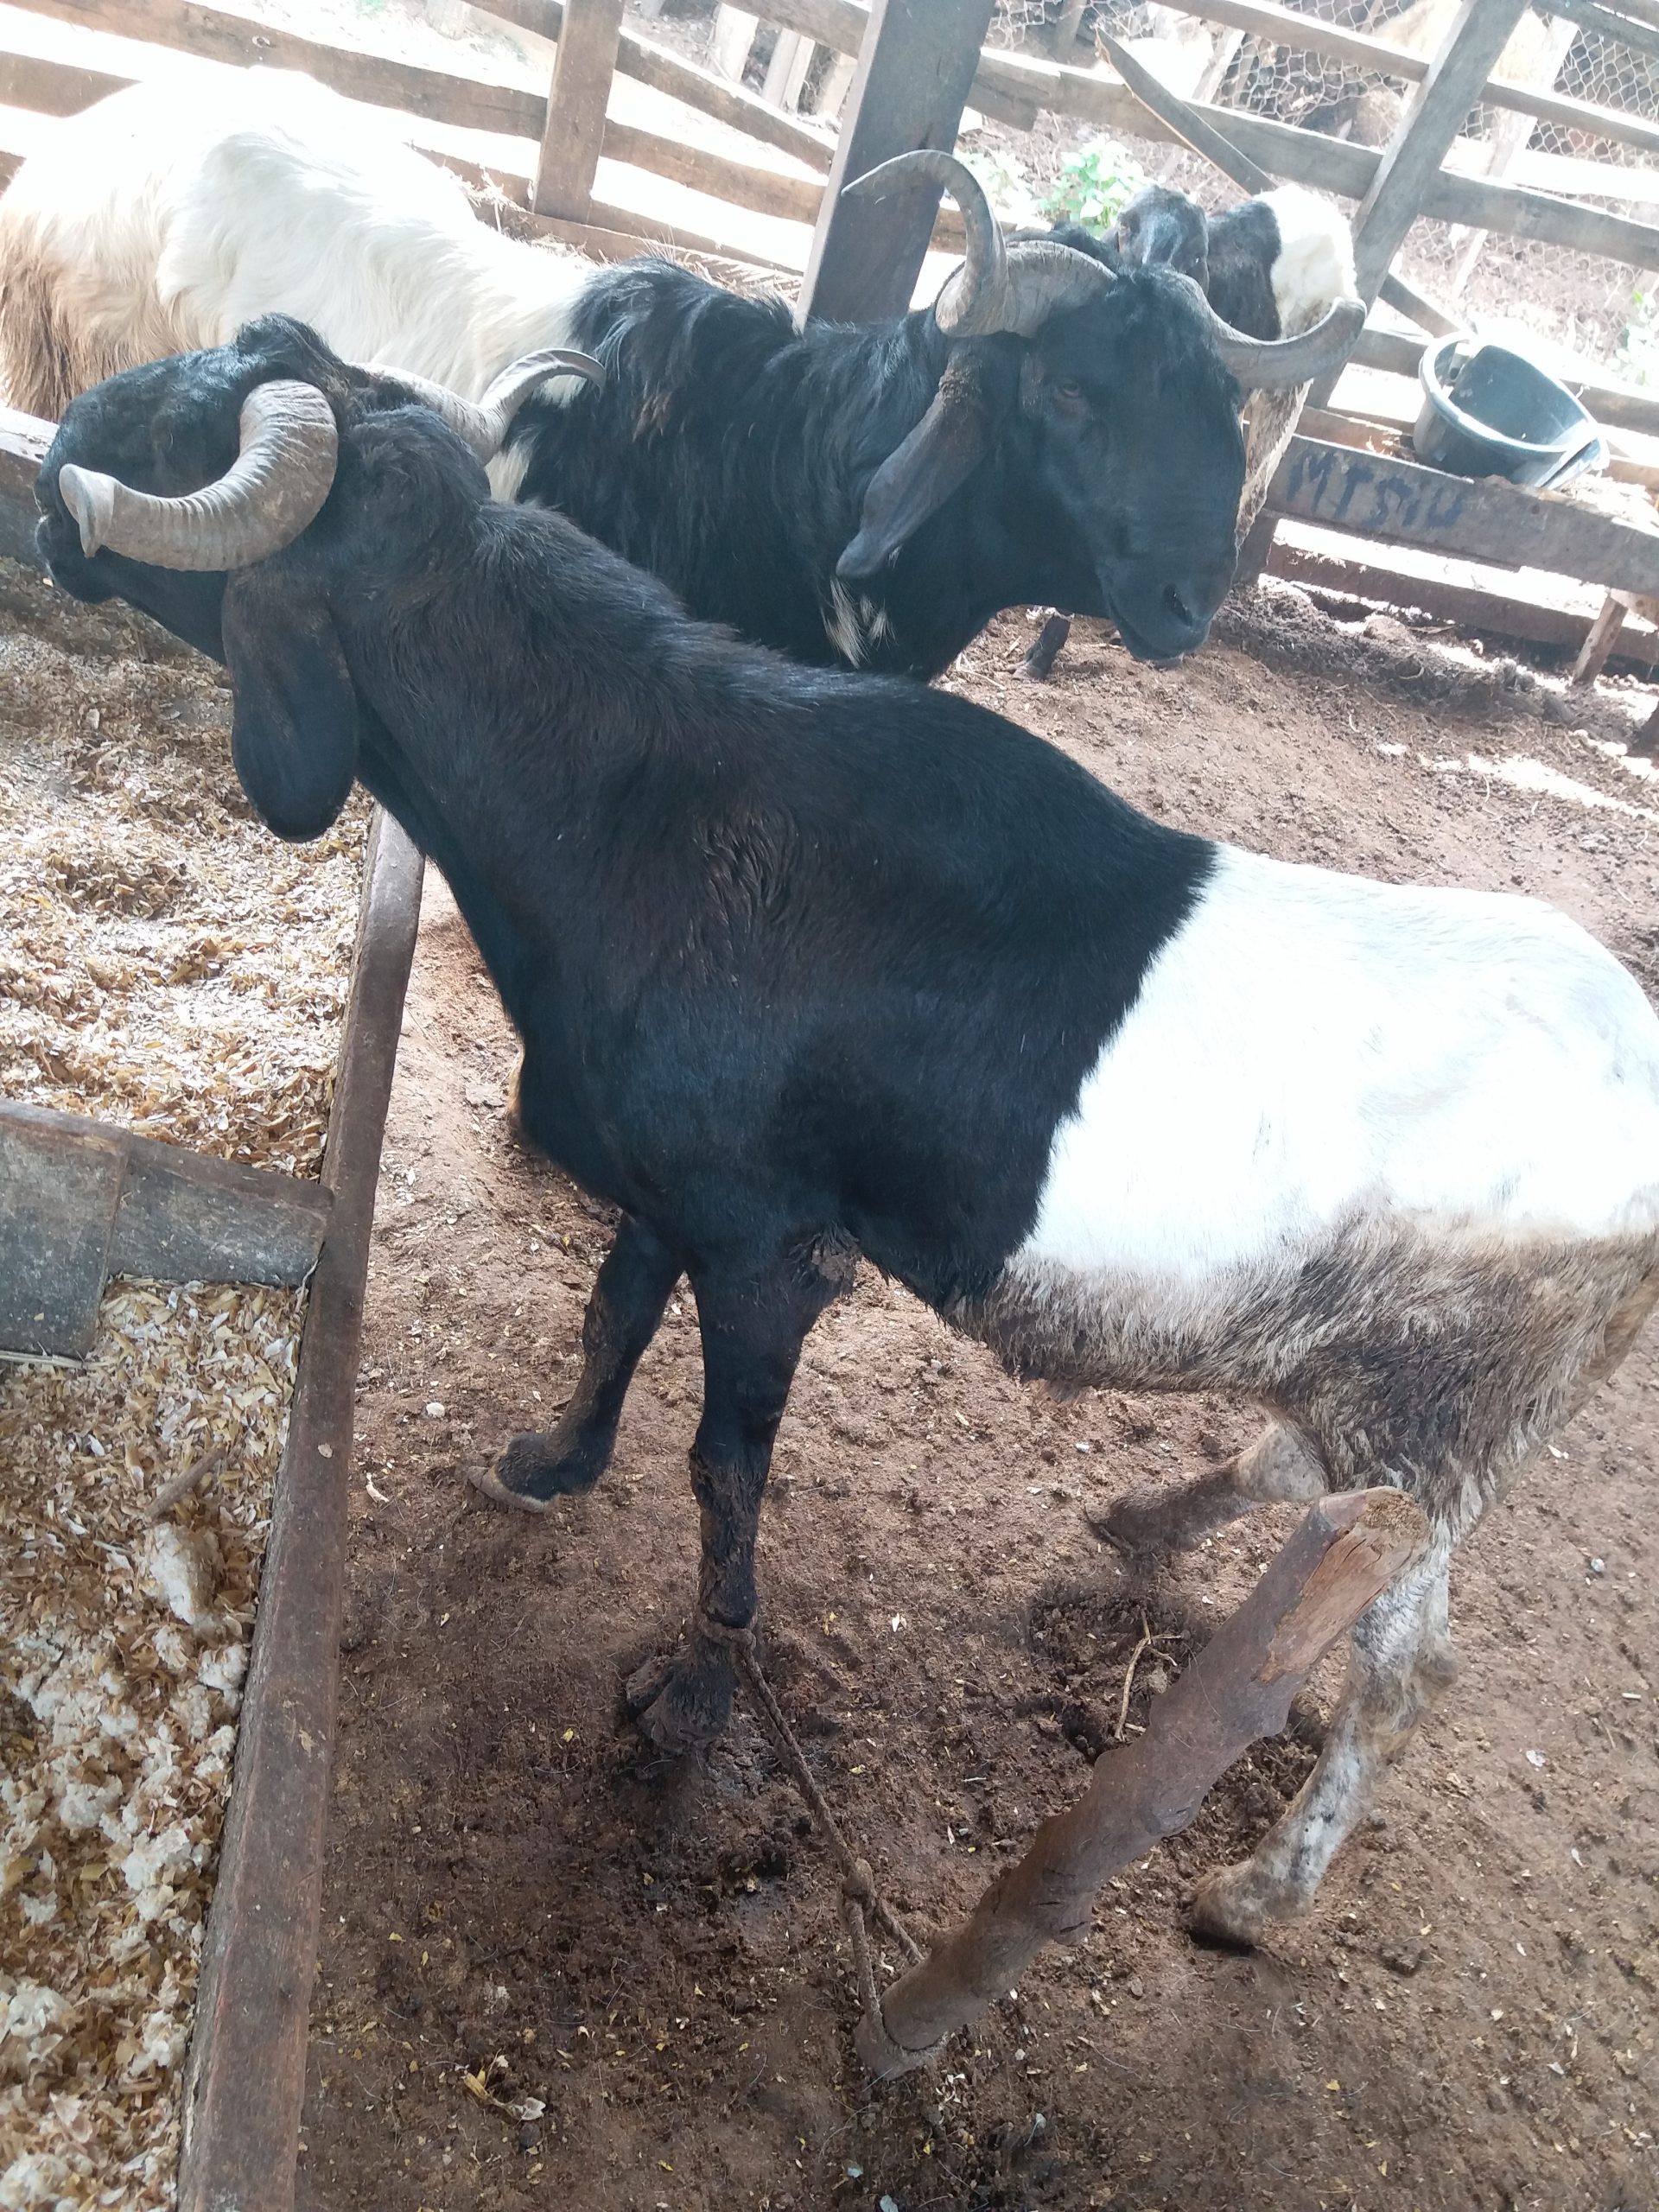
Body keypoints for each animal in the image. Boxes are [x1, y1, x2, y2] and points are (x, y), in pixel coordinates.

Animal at [36, 317, 1659, 1947]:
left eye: (175, 440)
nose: (49, 490)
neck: (640, 809)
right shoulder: (674, 1179)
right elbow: (611, 1313)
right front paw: (554, 1458)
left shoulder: (774, 1245)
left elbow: (723, 1466)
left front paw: (694, 1695)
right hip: (1387, 1396)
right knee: (1297, 1479)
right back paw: (1143, 1522)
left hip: (1444, 1415)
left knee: (1406, 1664)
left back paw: (1262, 1891)